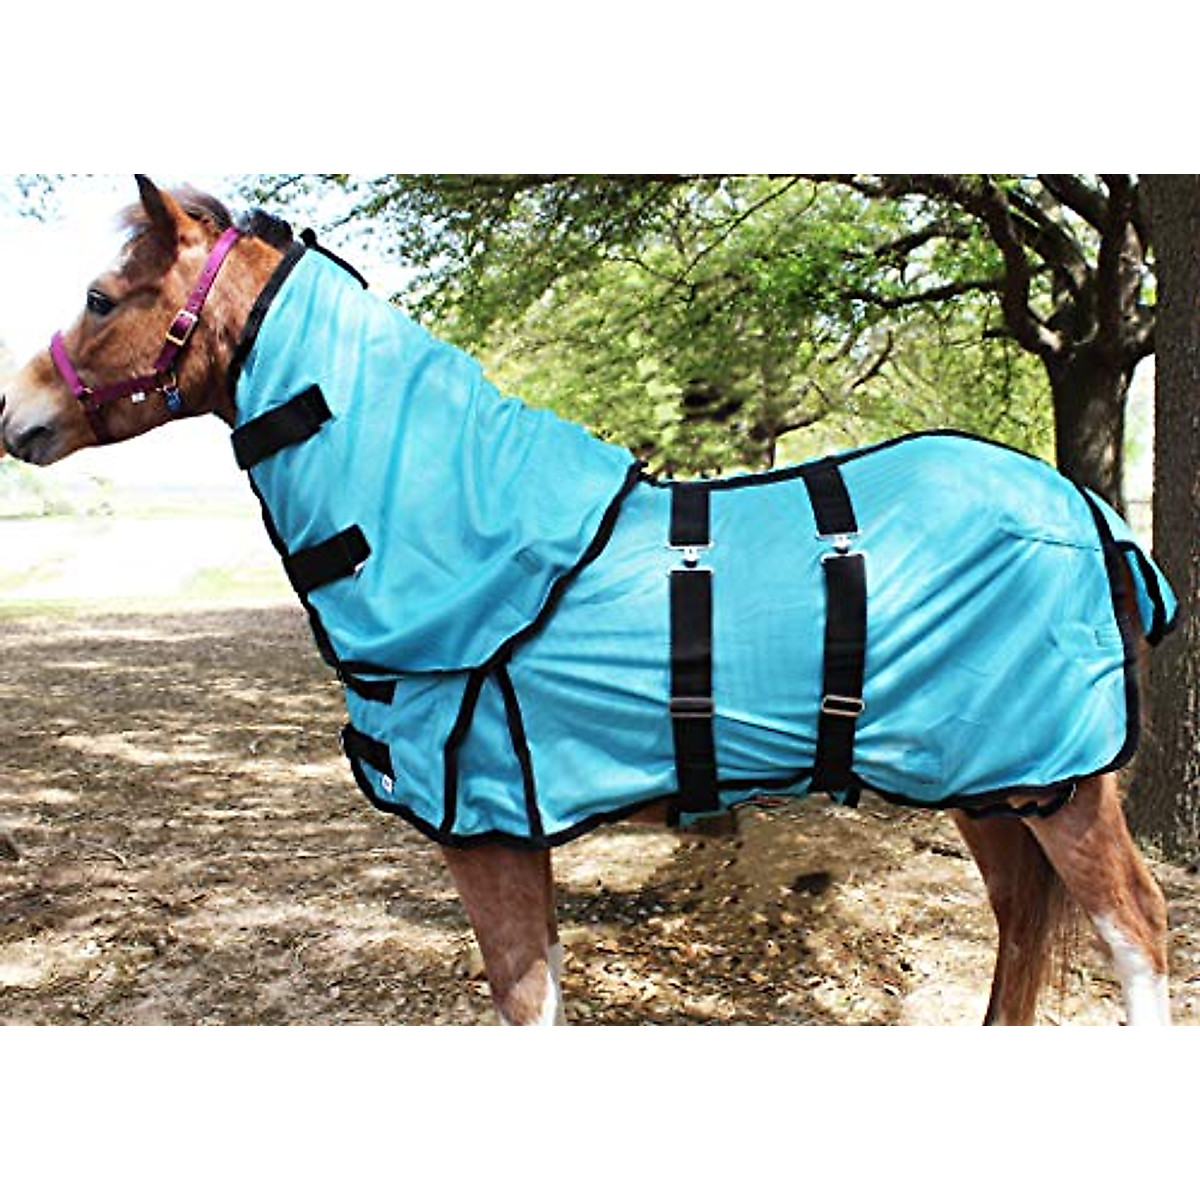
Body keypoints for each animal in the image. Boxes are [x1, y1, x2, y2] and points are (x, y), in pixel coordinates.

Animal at [0, 175, 1177, 1025]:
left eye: (100, 299)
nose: (18, 413)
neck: (455, 522)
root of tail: (1093, 514)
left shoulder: (487, 839)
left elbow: (527, 1008)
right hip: (996, 786)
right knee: (1021, 927)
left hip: (1064, 790)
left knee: (1137, 928)